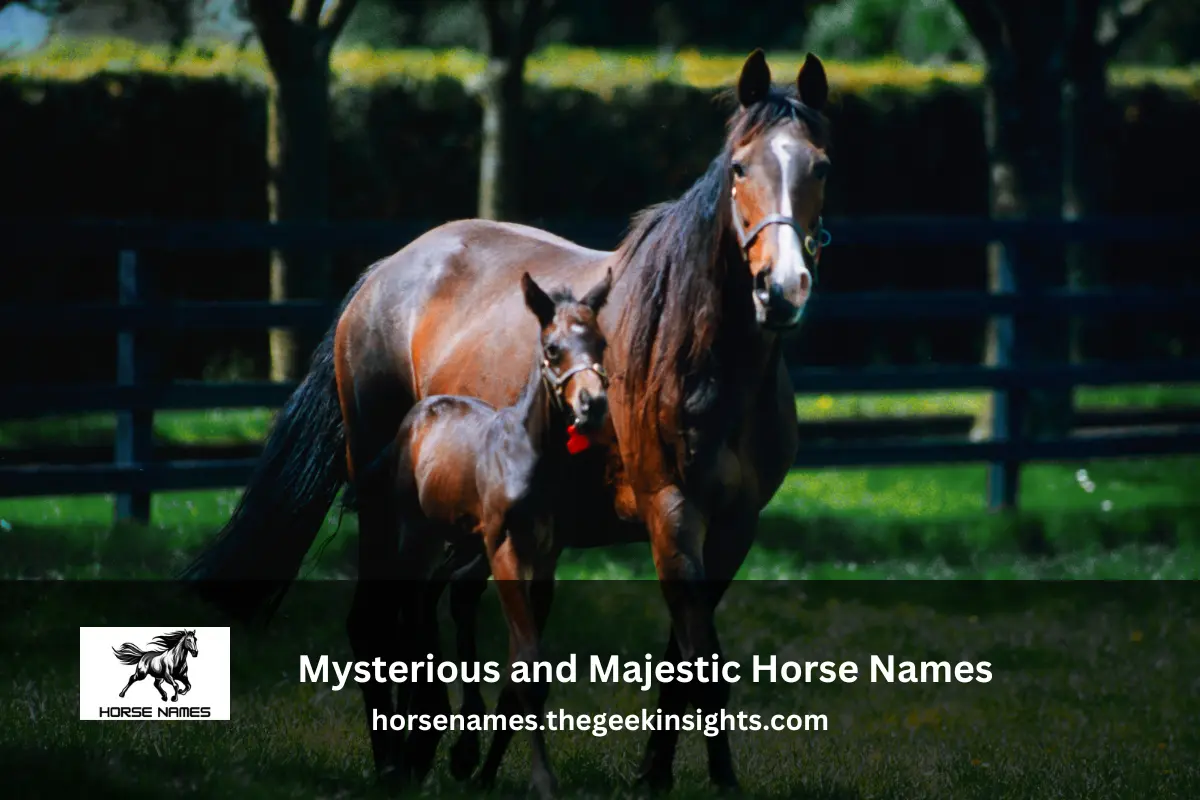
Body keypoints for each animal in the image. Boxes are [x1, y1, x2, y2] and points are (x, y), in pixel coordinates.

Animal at [183, 48, 832, 792]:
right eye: (740, 167)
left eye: (821, 166)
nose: (780, 290)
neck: (699, 355)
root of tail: (381, 276)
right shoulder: (670, 514)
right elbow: (696, 658)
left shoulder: (733, 528)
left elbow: (687, 661)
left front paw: (662, 773)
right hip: (386, 507)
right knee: (374, 619)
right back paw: (394, 760)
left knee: (429, 607)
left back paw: (437, 748)